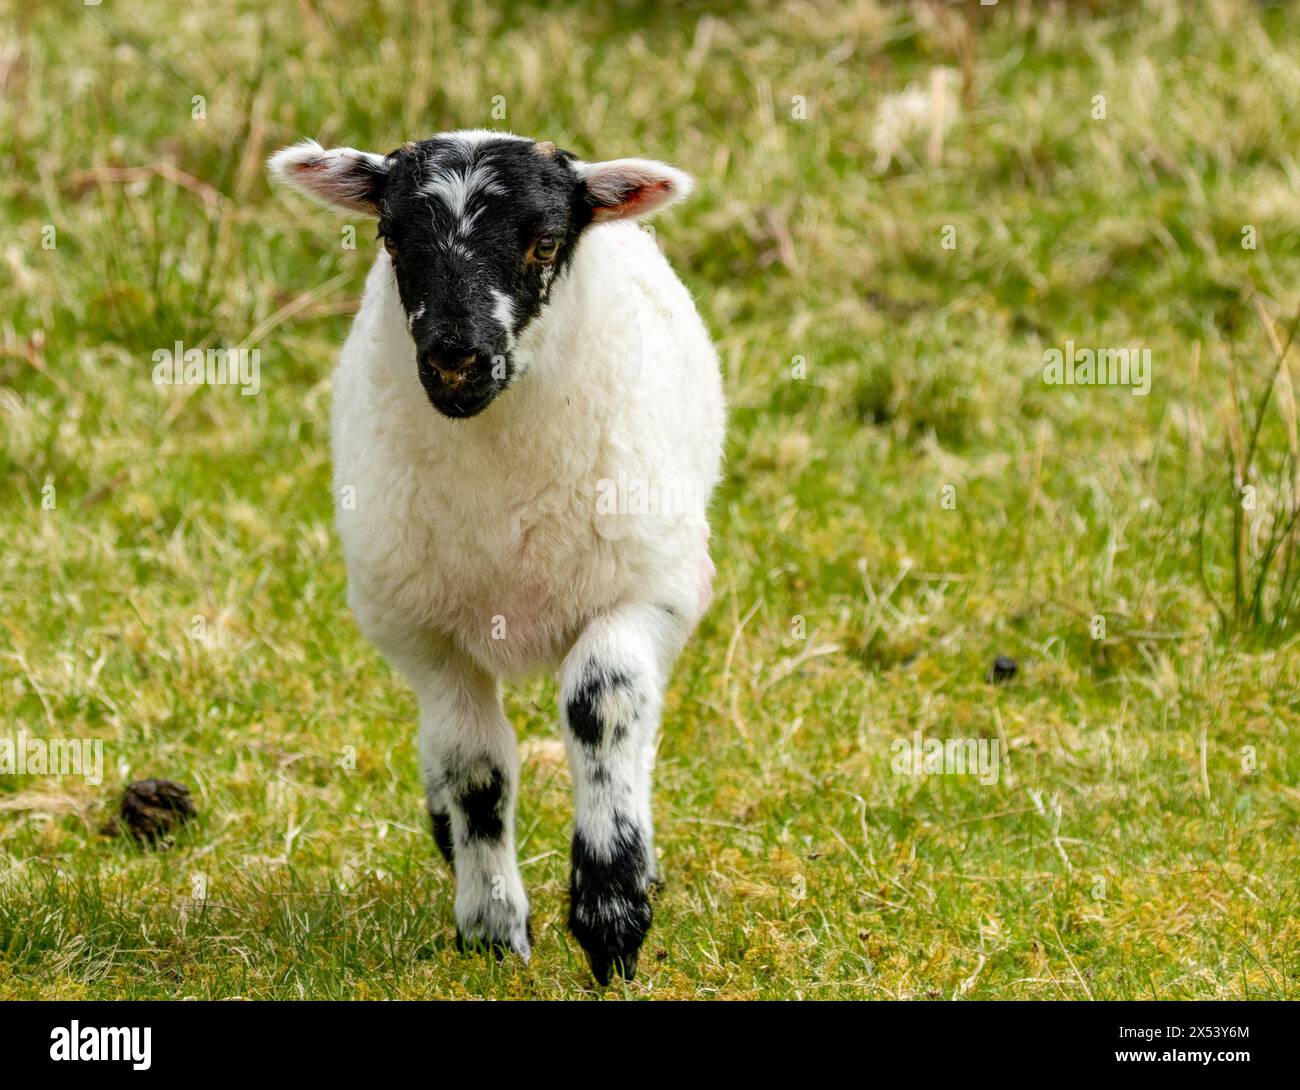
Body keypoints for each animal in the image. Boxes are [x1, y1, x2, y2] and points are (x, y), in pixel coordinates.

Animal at [268, 130, 725, 984]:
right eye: (391, 238)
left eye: (544, 242)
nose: (456, 358)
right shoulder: (422, 636)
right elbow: (474, 766)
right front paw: (490, 929)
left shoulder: (647, 593)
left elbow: (601, 706)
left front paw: (611, 914)